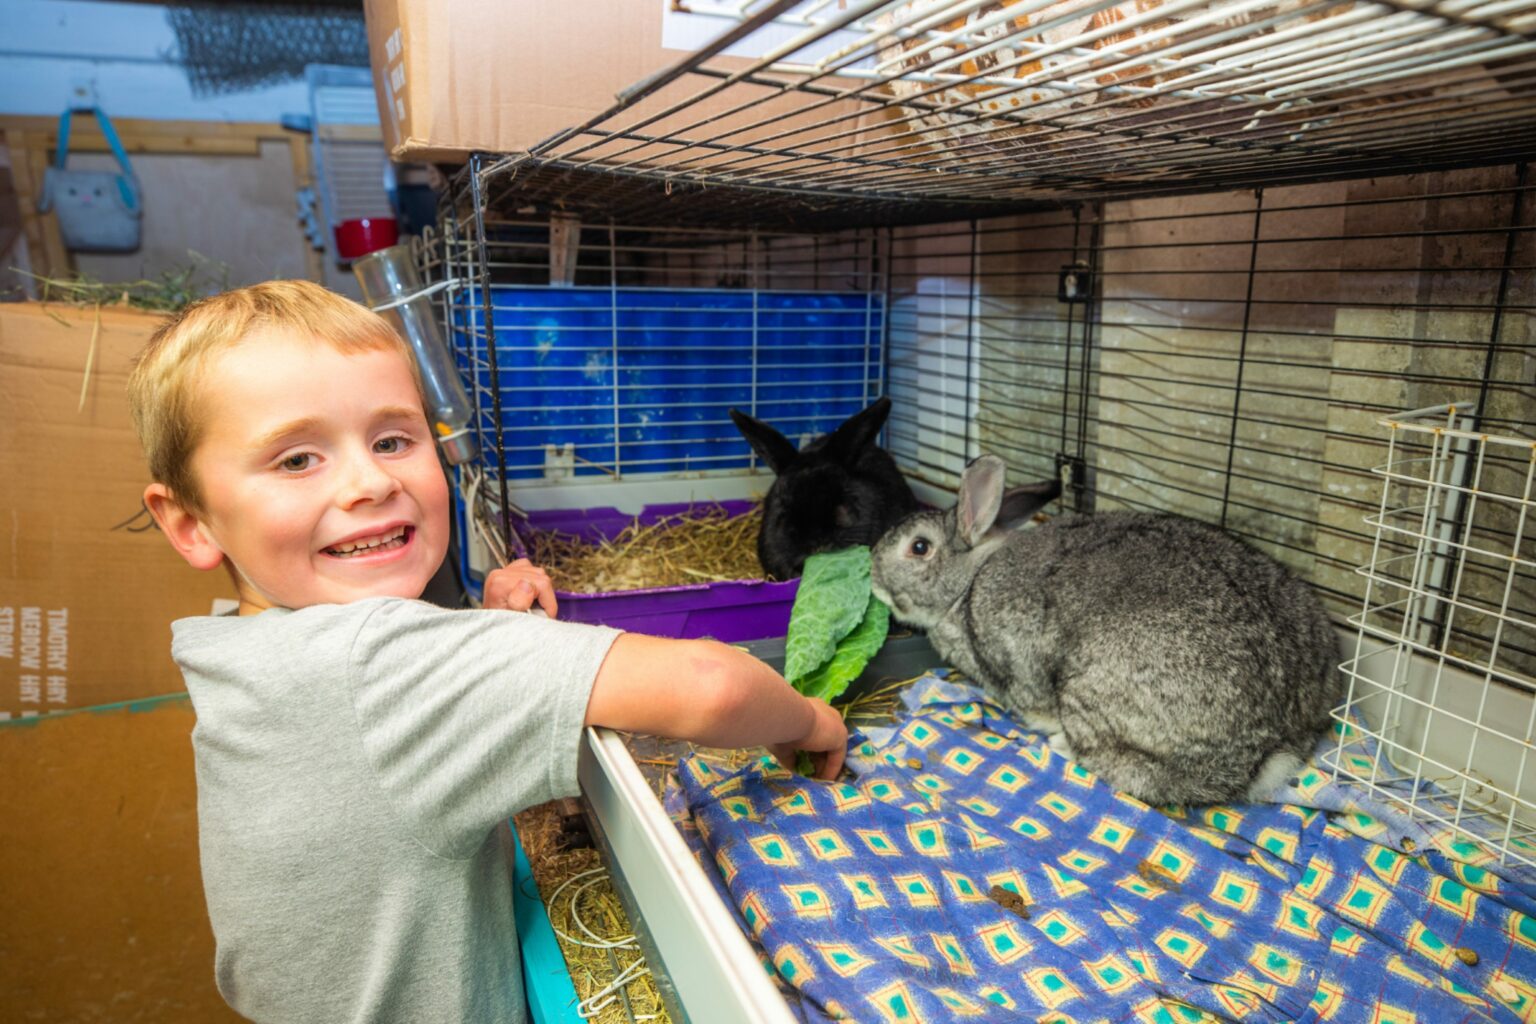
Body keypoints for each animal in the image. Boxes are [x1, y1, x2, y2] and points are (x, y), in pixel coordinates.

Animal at [870, 454, 1342, 806]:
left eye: (918, 547)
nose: (871, 574)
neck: (968, 581)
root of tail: (1271, 744)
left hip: (1090, 687)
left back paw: (1061, 745)